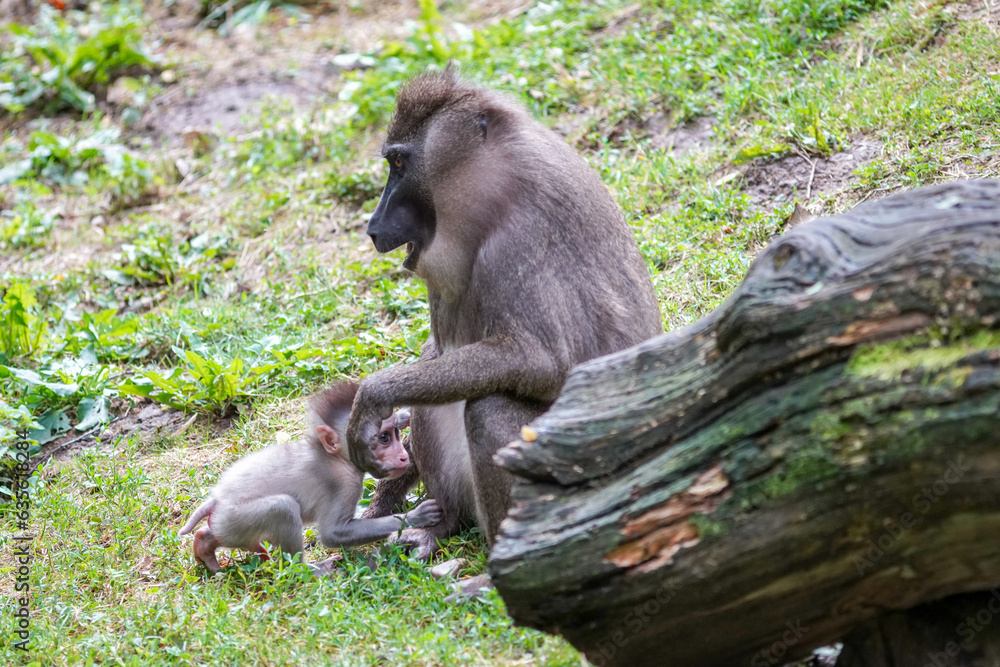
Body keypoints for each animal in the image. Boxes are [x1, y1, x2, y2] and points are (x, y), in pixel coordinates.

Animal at [178, 382, 441, 573]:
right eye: (384, 438)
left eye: (394, 433)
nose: (403, 457)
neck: (336, 457)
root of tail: (217, 500)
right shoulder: (345, 484)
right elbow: (333, 534)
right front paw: (415, 517)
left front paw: (404, 414)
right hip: (237, 518)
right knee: (282, 507)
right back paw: (305, 569)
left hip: (228, 525)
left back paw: (204, 545)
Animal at [345, 69, 663, 599]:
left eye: (399, 164)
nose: (373, 226)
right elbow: (439, 353)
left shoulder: (517, 244)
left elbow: (540, 362)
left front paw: (372, 397)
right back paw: (437, 526)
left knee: (488, 408)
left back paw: (493, 575)